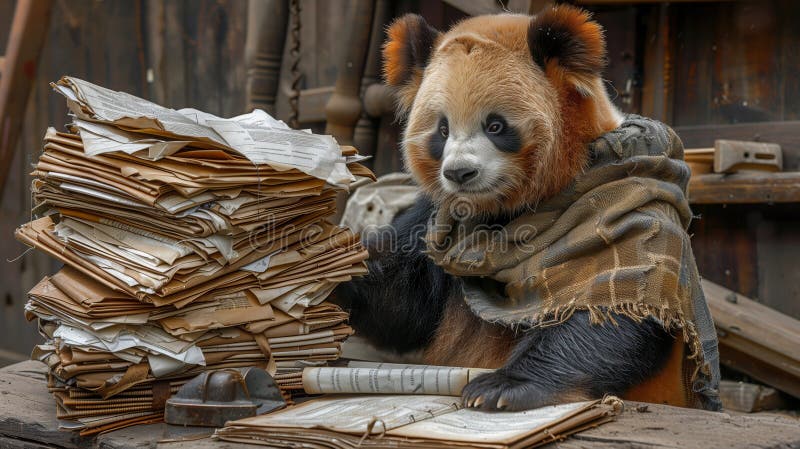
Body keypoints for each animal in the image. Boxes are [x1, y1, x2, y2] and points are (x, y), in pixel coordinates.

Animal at [335, 5, 720, 412]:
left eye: (495, 125)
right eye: (442, 129)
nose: (460, 174)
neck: (507, 213)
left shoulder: (627, 208)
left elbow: (613, 306)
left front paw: (501, 387)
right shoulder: (434, 217)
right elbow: (402, 300)